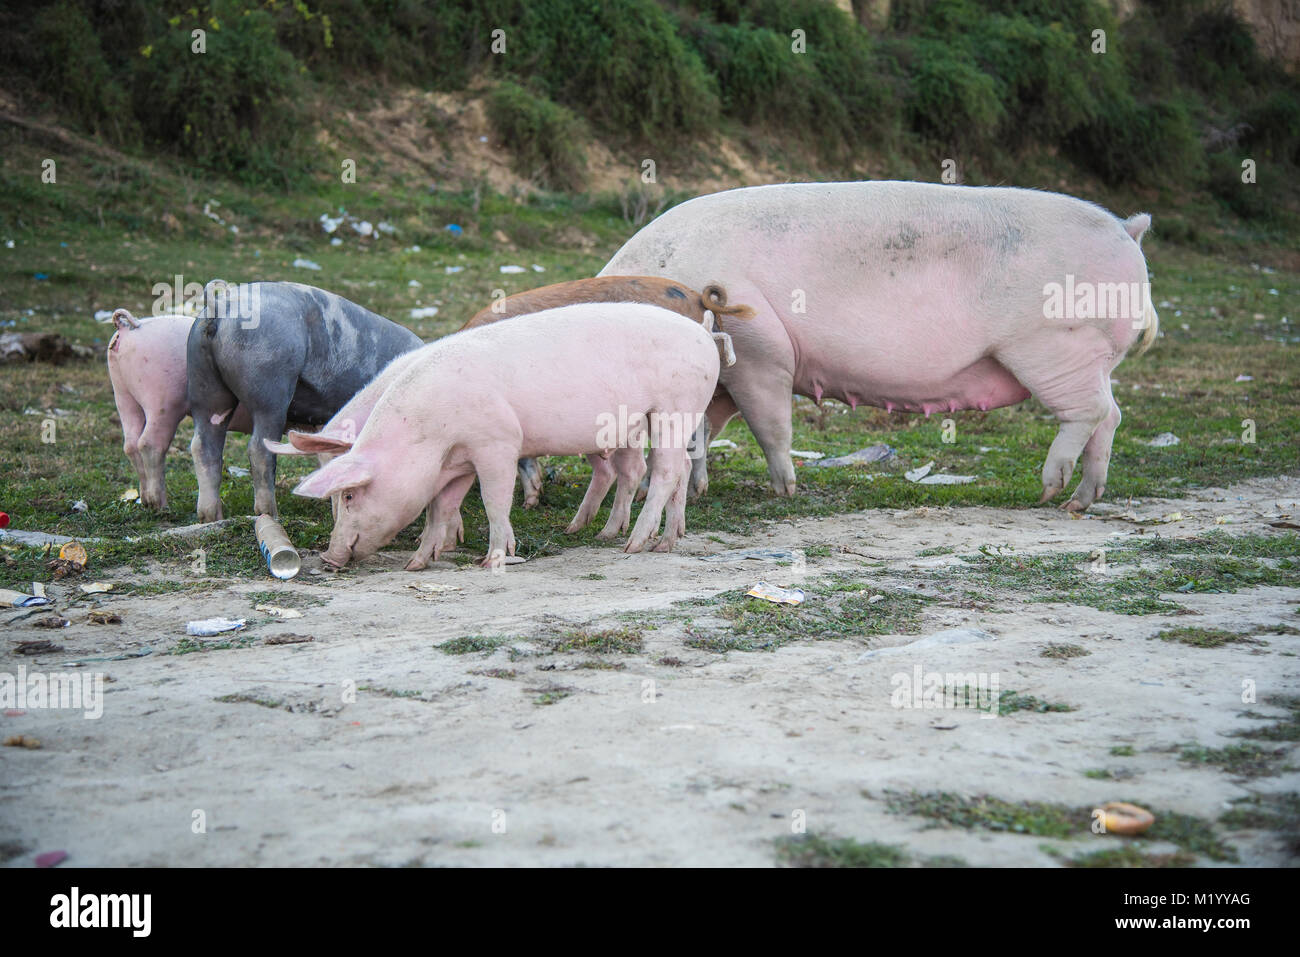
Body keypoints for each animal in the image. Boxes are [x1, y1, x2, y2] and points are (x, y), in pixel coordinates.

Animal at [105, 309, 252, 510]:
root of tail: (130, 327)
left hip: (121, 393)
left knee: (131, 444)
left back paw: (146, 501)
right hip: (162, 399)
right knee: (149, 443)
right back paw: (161, 506)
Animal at [186, 281, 422, 522]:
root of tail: (221, 304)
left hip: (203, 383)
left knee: (204, 445)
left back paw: (211, 517)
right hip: (270, 389)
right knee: (259, 449)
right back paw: (271, 515)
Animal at [290, 303, 720, 569]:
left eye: (349, 495)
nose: (328, 558)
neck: (430, 434)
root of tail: (701, 332)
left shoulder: (497, 444)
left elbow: (494, 500)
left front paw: (493, 558)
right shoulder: (456, 464)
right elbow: (440, 507)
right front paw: (417, 562)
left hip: (673, 409)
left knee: (664, 471)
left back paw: (634, 544)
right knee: (674, 468)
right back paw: (654, 540)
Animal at [600, 181, 1159, 511]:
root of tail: (1126, 231)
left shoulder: (760, 353)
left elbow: (770, 426)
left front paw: (786, 491)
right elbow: (699, 431)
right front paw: (692, 488)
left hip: (1056, 346)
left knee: (1087, 413)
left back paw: (1050, 490)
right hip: (1090, 359)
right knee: (1111, 416)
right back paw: (1080, 503)